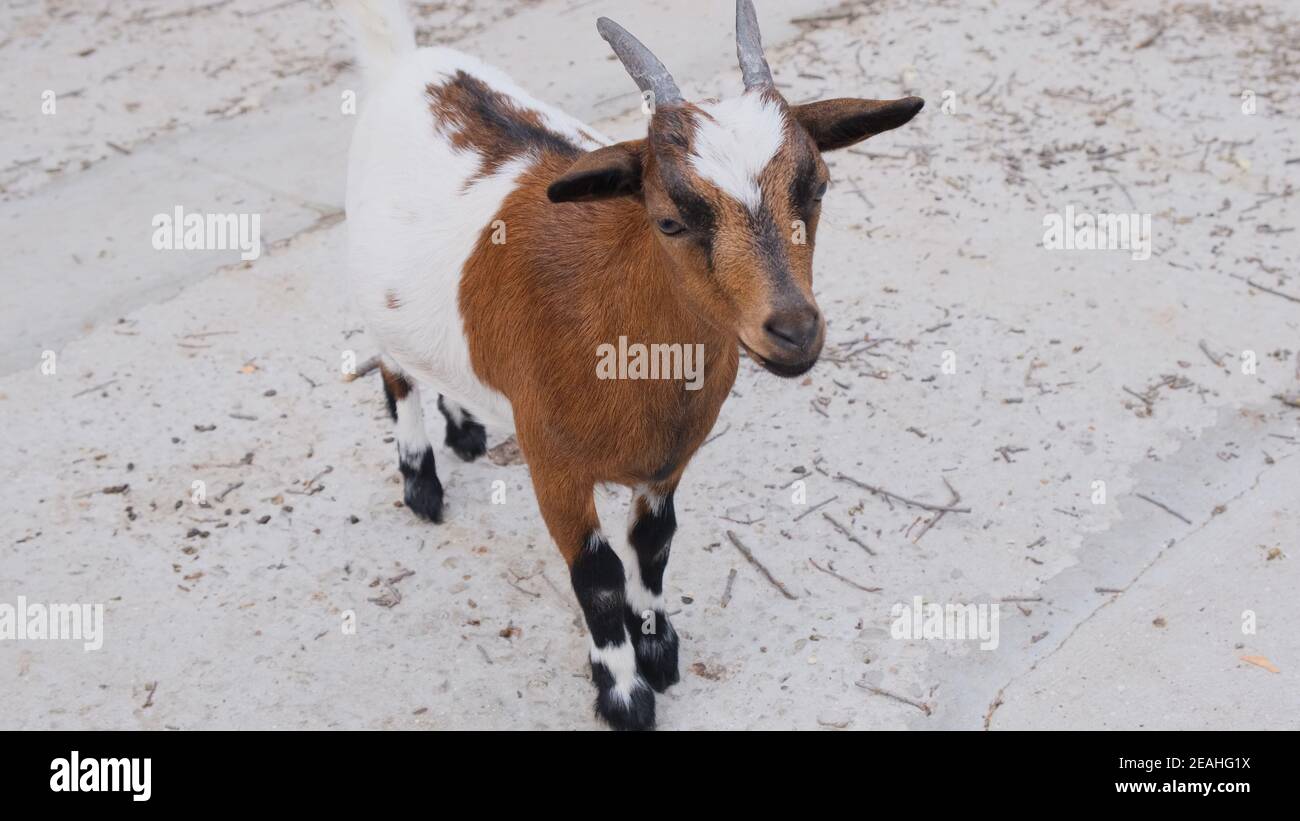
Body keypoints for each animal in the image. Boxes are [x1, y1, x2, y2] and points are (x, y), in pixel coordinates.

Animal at [339, 0, 923, 730]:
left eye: (817, 187)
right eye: (669, 219)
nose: (794, 330)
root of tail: (407, 61)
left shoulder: (668, 461)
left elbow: (653, 544)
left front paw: (659, 648)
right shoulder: (553, 466)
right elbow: (598, 578)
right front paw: (622, 692)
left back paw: (466, 430)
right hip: (378, 303)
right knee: (397, 374)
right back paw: (421, 481)